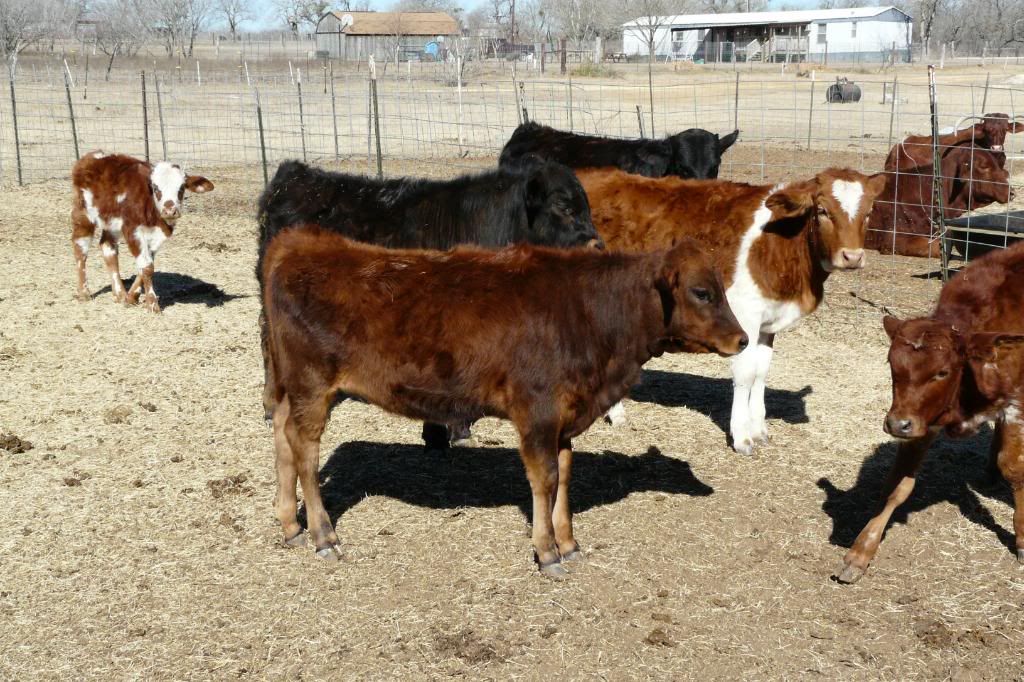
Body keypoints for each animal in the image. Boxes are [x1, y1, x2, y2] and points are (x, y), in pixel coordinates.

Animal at [71, 151, 214, 312]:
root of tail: (93, 156)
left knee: (108, 247)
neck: (154, 215)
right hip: (83, 214)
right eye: (155, 188)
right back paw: (84, 292)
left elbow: (145, 265)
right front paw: (152, 304)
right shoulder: (132, 230)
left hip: (111, 223)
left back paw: (119, 294)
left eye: (182, 188)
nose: (170, 211)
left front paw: (130, 298)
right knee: (80, 249)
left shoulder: (157, 236)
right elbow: (147, 267)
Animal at [256, 159, 602, 449]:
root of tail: (294, 174)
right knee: (268, 346)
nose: (596, 244)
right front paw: (453, 428)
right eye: (563, 206)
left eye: (586, 206)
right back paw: (272, 405)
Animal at [261, 229, 748, 575]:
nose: (743, 339)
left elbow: (565, 474)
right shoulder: (537, 411)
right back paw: (323, 536)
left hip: (292, 389)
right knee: (305, 452)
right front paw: (546, 552)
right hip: (312, 385)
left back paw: (291, 526)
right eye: (702, 291)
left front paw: (568, 543)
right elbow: (545, 478)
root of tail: (299, 242)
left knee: (282, 436)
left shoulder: (564, 416)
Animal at [576, 167, 887, 454]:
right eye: (822, 210)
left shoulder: (768, 321)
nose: (852, 257)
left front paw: (759, 429)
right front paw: (742, 436)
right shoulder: (745, 313)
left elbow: (762, 371)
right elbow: (746, 373)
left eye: (869, 212)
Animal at [836, 241, 1024, 583]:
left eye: (942, 372)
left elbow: (1015, 468)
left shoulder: (1016, 403)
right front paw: (861, 551)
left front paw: (1022, 537)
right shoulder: (921, 420)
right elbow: (897, 484)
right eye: (892, 365)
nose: (895, 424)